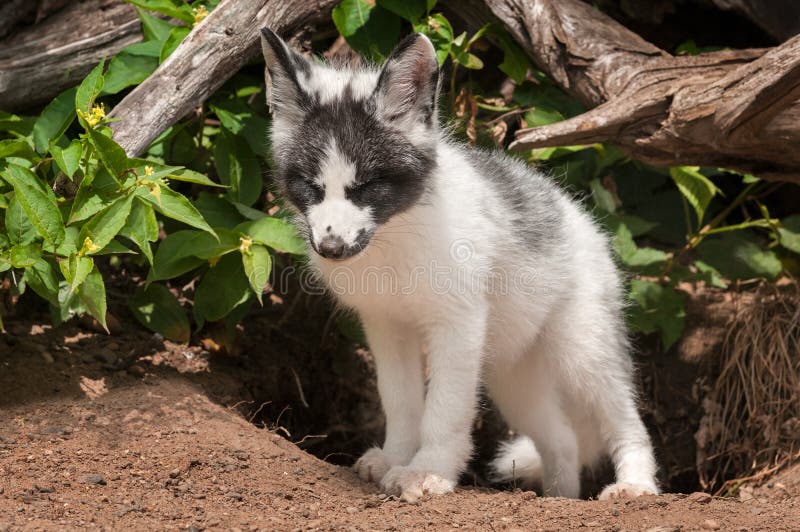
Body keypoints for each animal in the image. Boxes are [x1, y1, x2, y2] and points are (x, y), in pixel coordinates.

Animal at [259, 28, 659, 502]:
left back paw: (635, 486)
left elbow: (444, 411)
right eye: (311, 186)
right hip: (512, 375)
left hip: (583, 352)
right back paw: (559, 500)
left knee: (628, 422)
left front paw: (426, 473)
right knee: (563, 439)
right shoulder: (386, 327)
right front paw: (395, 459)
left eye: (368, 185)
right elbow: (400, 402)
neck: (396, 240)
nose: (331, 247)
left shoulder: (457, 325)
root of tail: (582, 219)